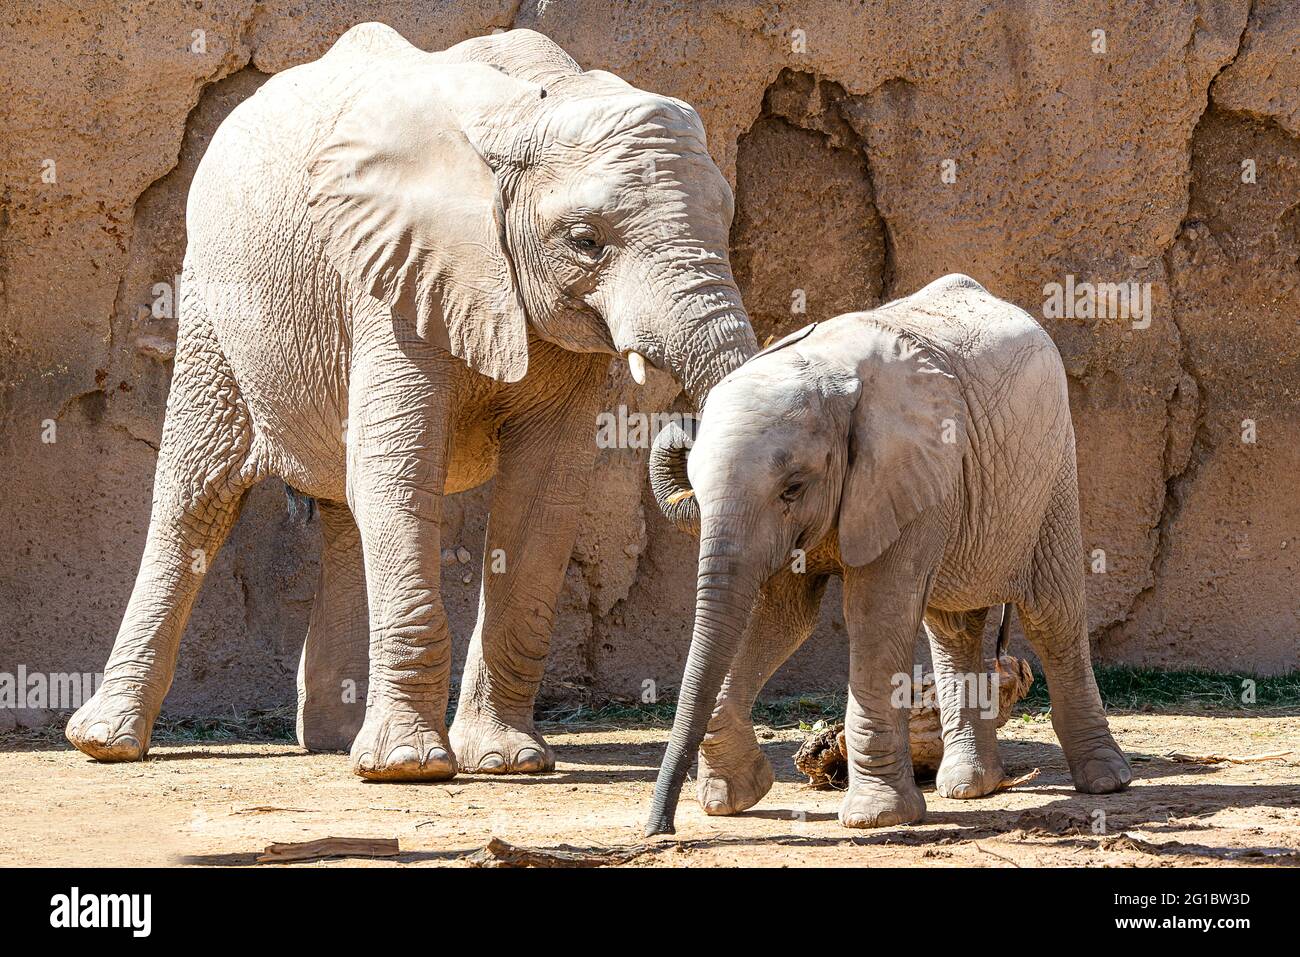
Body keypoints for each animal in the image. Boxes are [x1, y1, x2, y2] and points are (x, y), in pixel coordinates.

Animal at [65, 23, 757, 782]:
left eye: (726, 224)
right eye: (585, 241)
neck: (530, 108)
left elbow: (542, 494)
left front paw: (507, 760)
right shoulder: (391, 277)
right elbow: (401, 470)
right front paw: (409, 766)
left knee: (343, 508)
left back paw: (333, 740)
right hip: (211, 309)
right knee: (197, 493)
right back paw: (107, 743)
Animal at [643, 274, 1131, 835]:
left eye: (792, 488)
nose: (660, 828)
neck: (822, 370)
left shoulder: (906, 468)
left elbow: (877, 612)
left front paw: (874, 819)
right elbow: (783, 619)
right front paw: (731, 798)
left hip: (1051, 470)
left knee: (1054, 615)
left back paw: (1105, 782)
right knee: (953, 627)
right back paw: (967, 787)